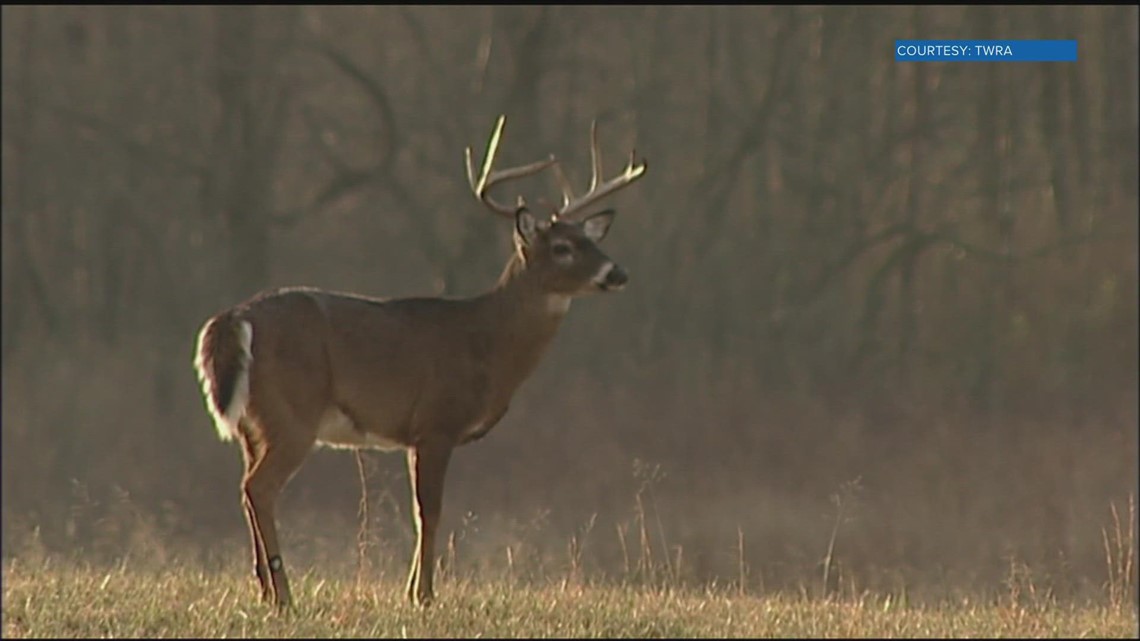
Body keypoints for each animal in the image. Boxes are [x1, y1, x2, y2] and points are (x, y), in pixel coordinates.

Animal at [192, 115, 646, 609]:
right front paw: (423, 594)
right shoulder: (436, 423)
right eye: (562, 247)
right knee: (259, 487)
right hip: (292, 414)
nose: (618, 273)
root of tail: (234, 318)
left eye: (589, 240)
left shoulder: (415, 436)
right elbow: (430, 510)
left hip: (252, 423)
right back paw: (284, 595)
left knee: (247, 488)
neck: (487, 343)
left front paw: (415, 589)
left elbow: (418, 510)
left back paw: (264, 589)